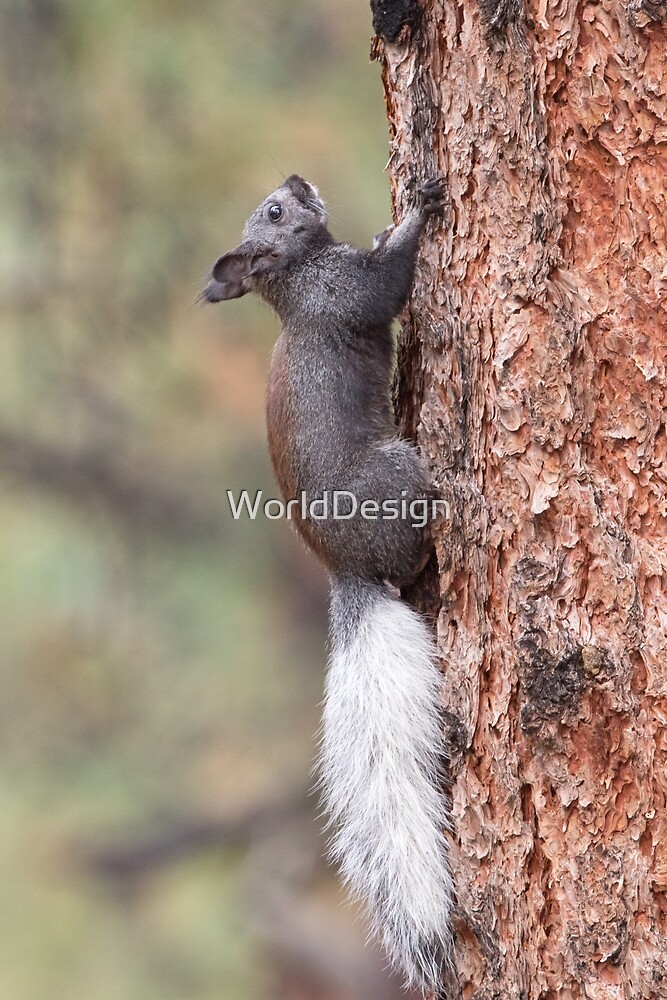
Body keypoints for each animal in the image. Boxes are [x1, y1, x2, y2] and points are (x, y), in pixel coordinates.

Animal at [203, 174, 453, 994]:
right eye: (276, 214)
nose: (293, 180)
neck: (293, 280)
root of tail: (347, 573)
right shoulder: (342, 293)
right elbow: (386, 284)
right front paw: (417, 210)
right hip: (396, 477)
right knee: (410, 555)